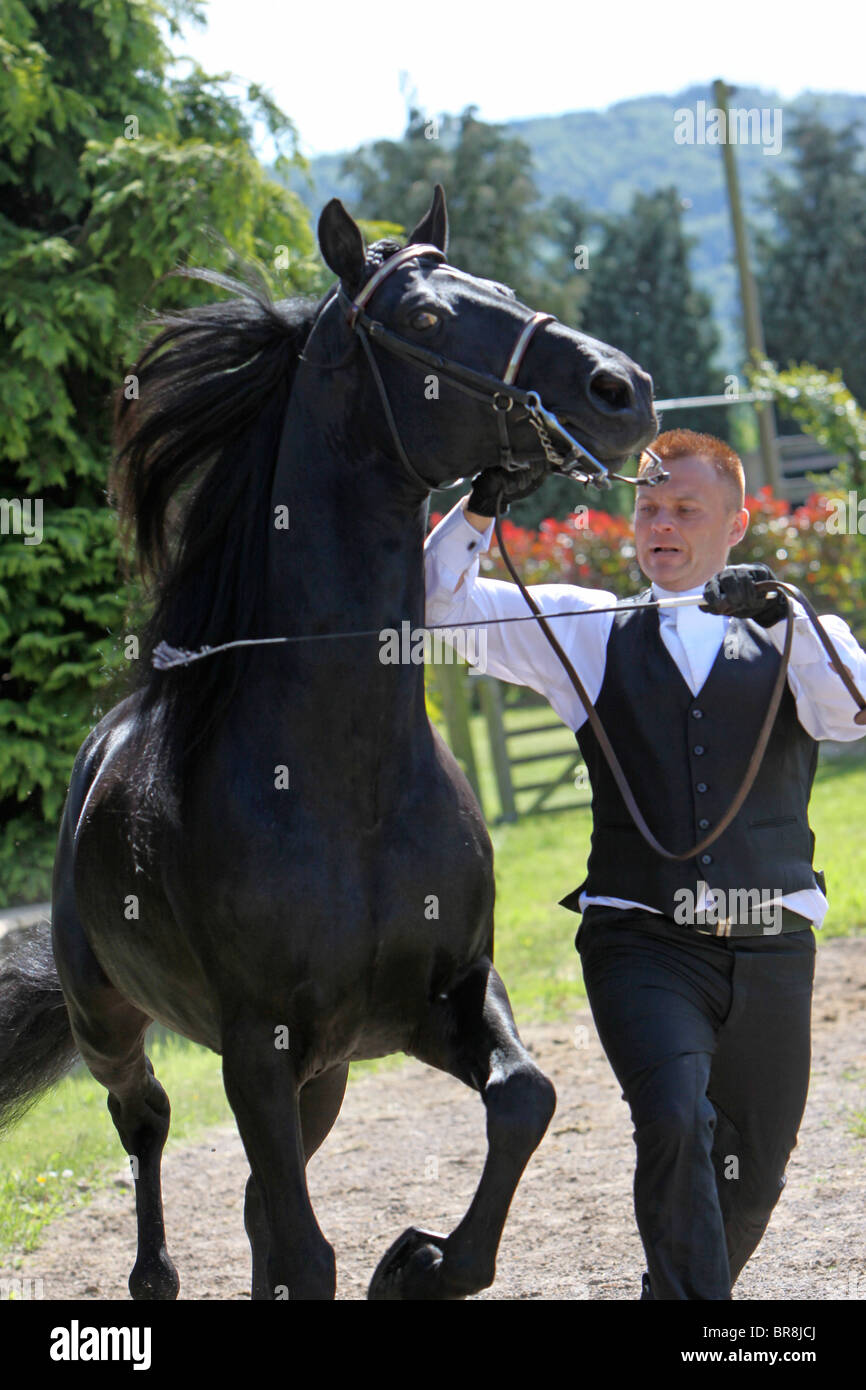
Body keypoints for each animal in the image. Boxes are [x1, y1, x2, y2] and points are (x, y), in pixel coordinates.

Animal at [0, 185, 657, 1299]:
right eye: (426, 319)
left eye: (498, 286)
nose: (623, 389)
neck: (346, 786)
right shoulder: (255, 1051)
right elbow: (306, 1252)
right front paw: (406, 1259)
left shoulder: (442, 998)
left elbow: (525, 1097)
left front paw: (421, 1260)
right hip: (116, 1029)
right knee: (148, 1125)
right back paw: (153, 1275)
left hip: (327, 1074)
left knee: (260, 1199)